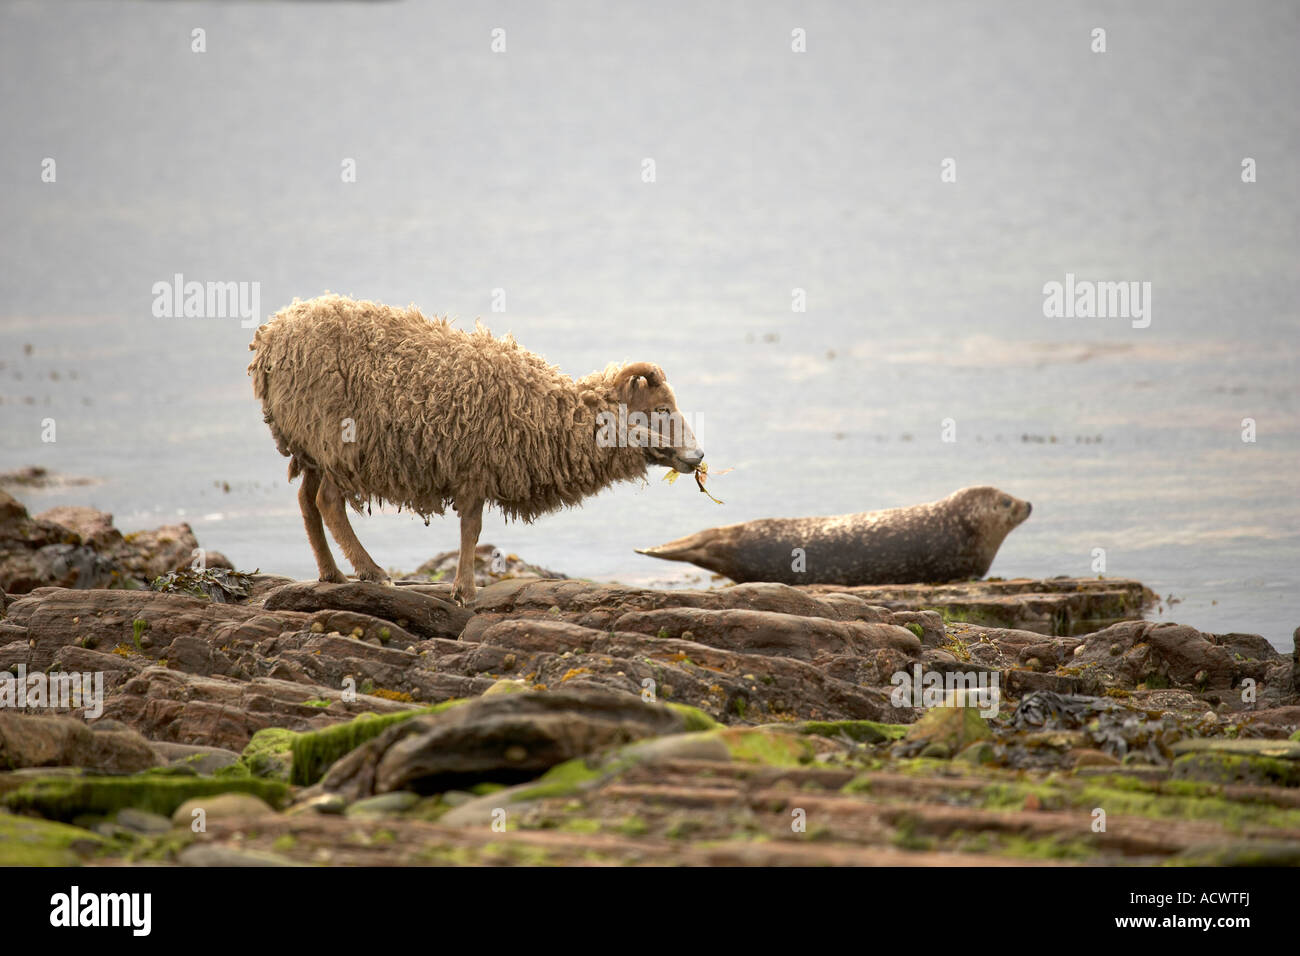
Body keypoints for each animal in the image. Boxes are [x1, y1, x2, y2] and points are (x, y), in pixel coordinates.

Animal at [247, 294, 705, 604]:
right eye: (662, 409)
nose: (698, 458)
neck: (549, 413)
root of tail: (273, 335)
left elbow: (472, 528)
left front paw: (463, 588)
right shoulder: (474, 468)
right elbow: (472, 529)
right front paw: (465, 590)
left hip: (309, 443)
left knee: (306, 501)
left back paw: (331, 575)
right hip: (337, 443)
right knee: (328, 502)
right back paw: (372, 573)